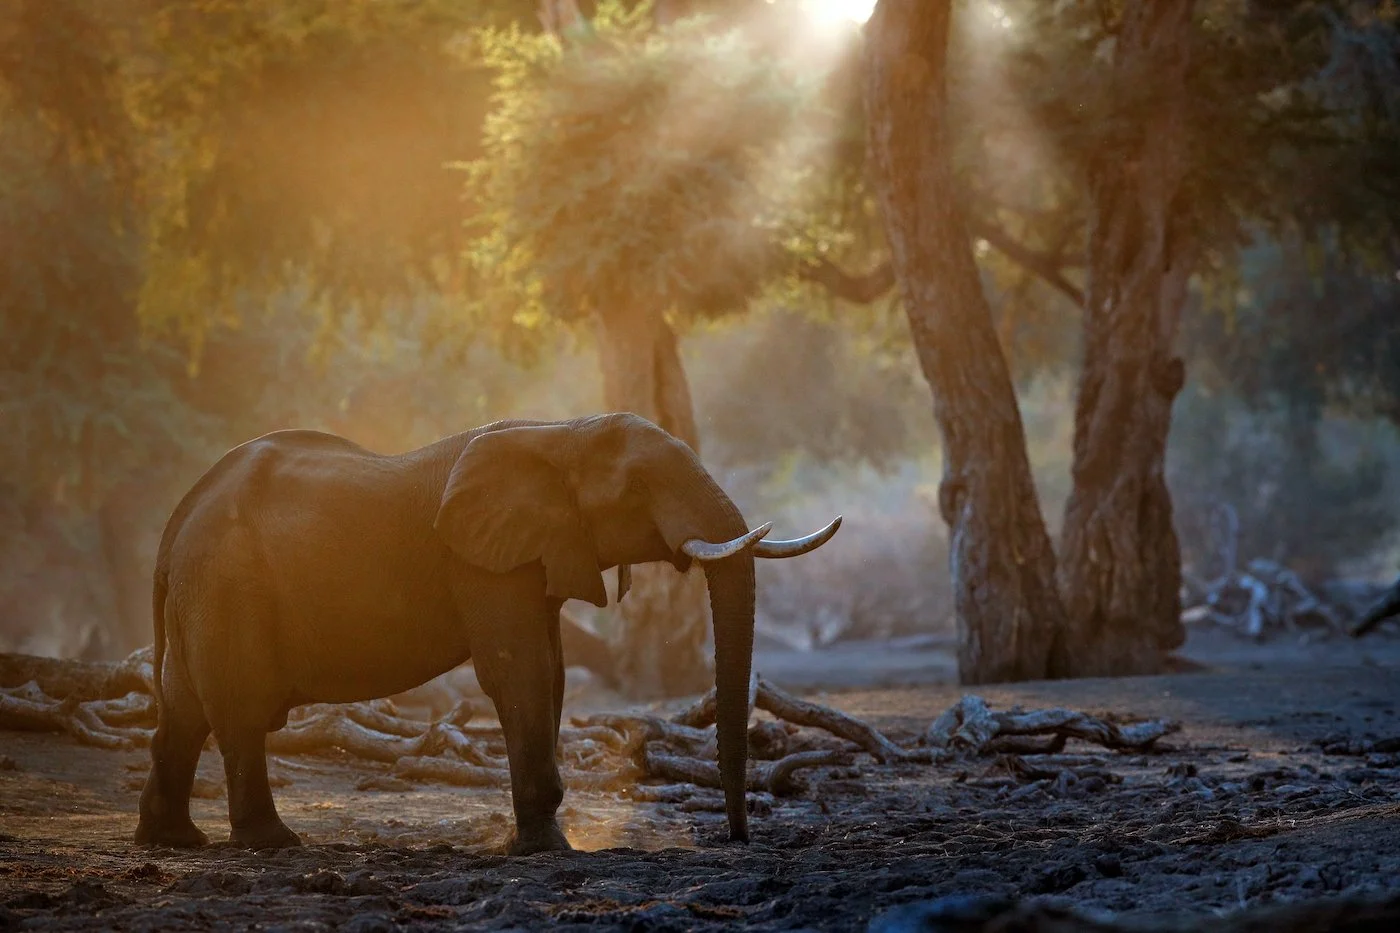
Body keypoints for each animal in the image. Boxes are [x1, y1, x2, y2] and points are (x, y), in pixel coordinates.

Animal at [134, 412, 840, 855]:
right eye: (639, 486)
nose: (736, 839)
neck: (561, 433)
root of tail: (175, 523)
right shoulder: (481, 562)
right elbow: (518, 669)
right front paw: (543, 849)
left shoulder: (538, 554)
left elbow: (551, 672)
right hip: (229, 586)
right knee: (240, 709)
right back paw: (272, 843)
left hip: (204, 592)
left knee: (183, 712)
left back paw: (173, 841)